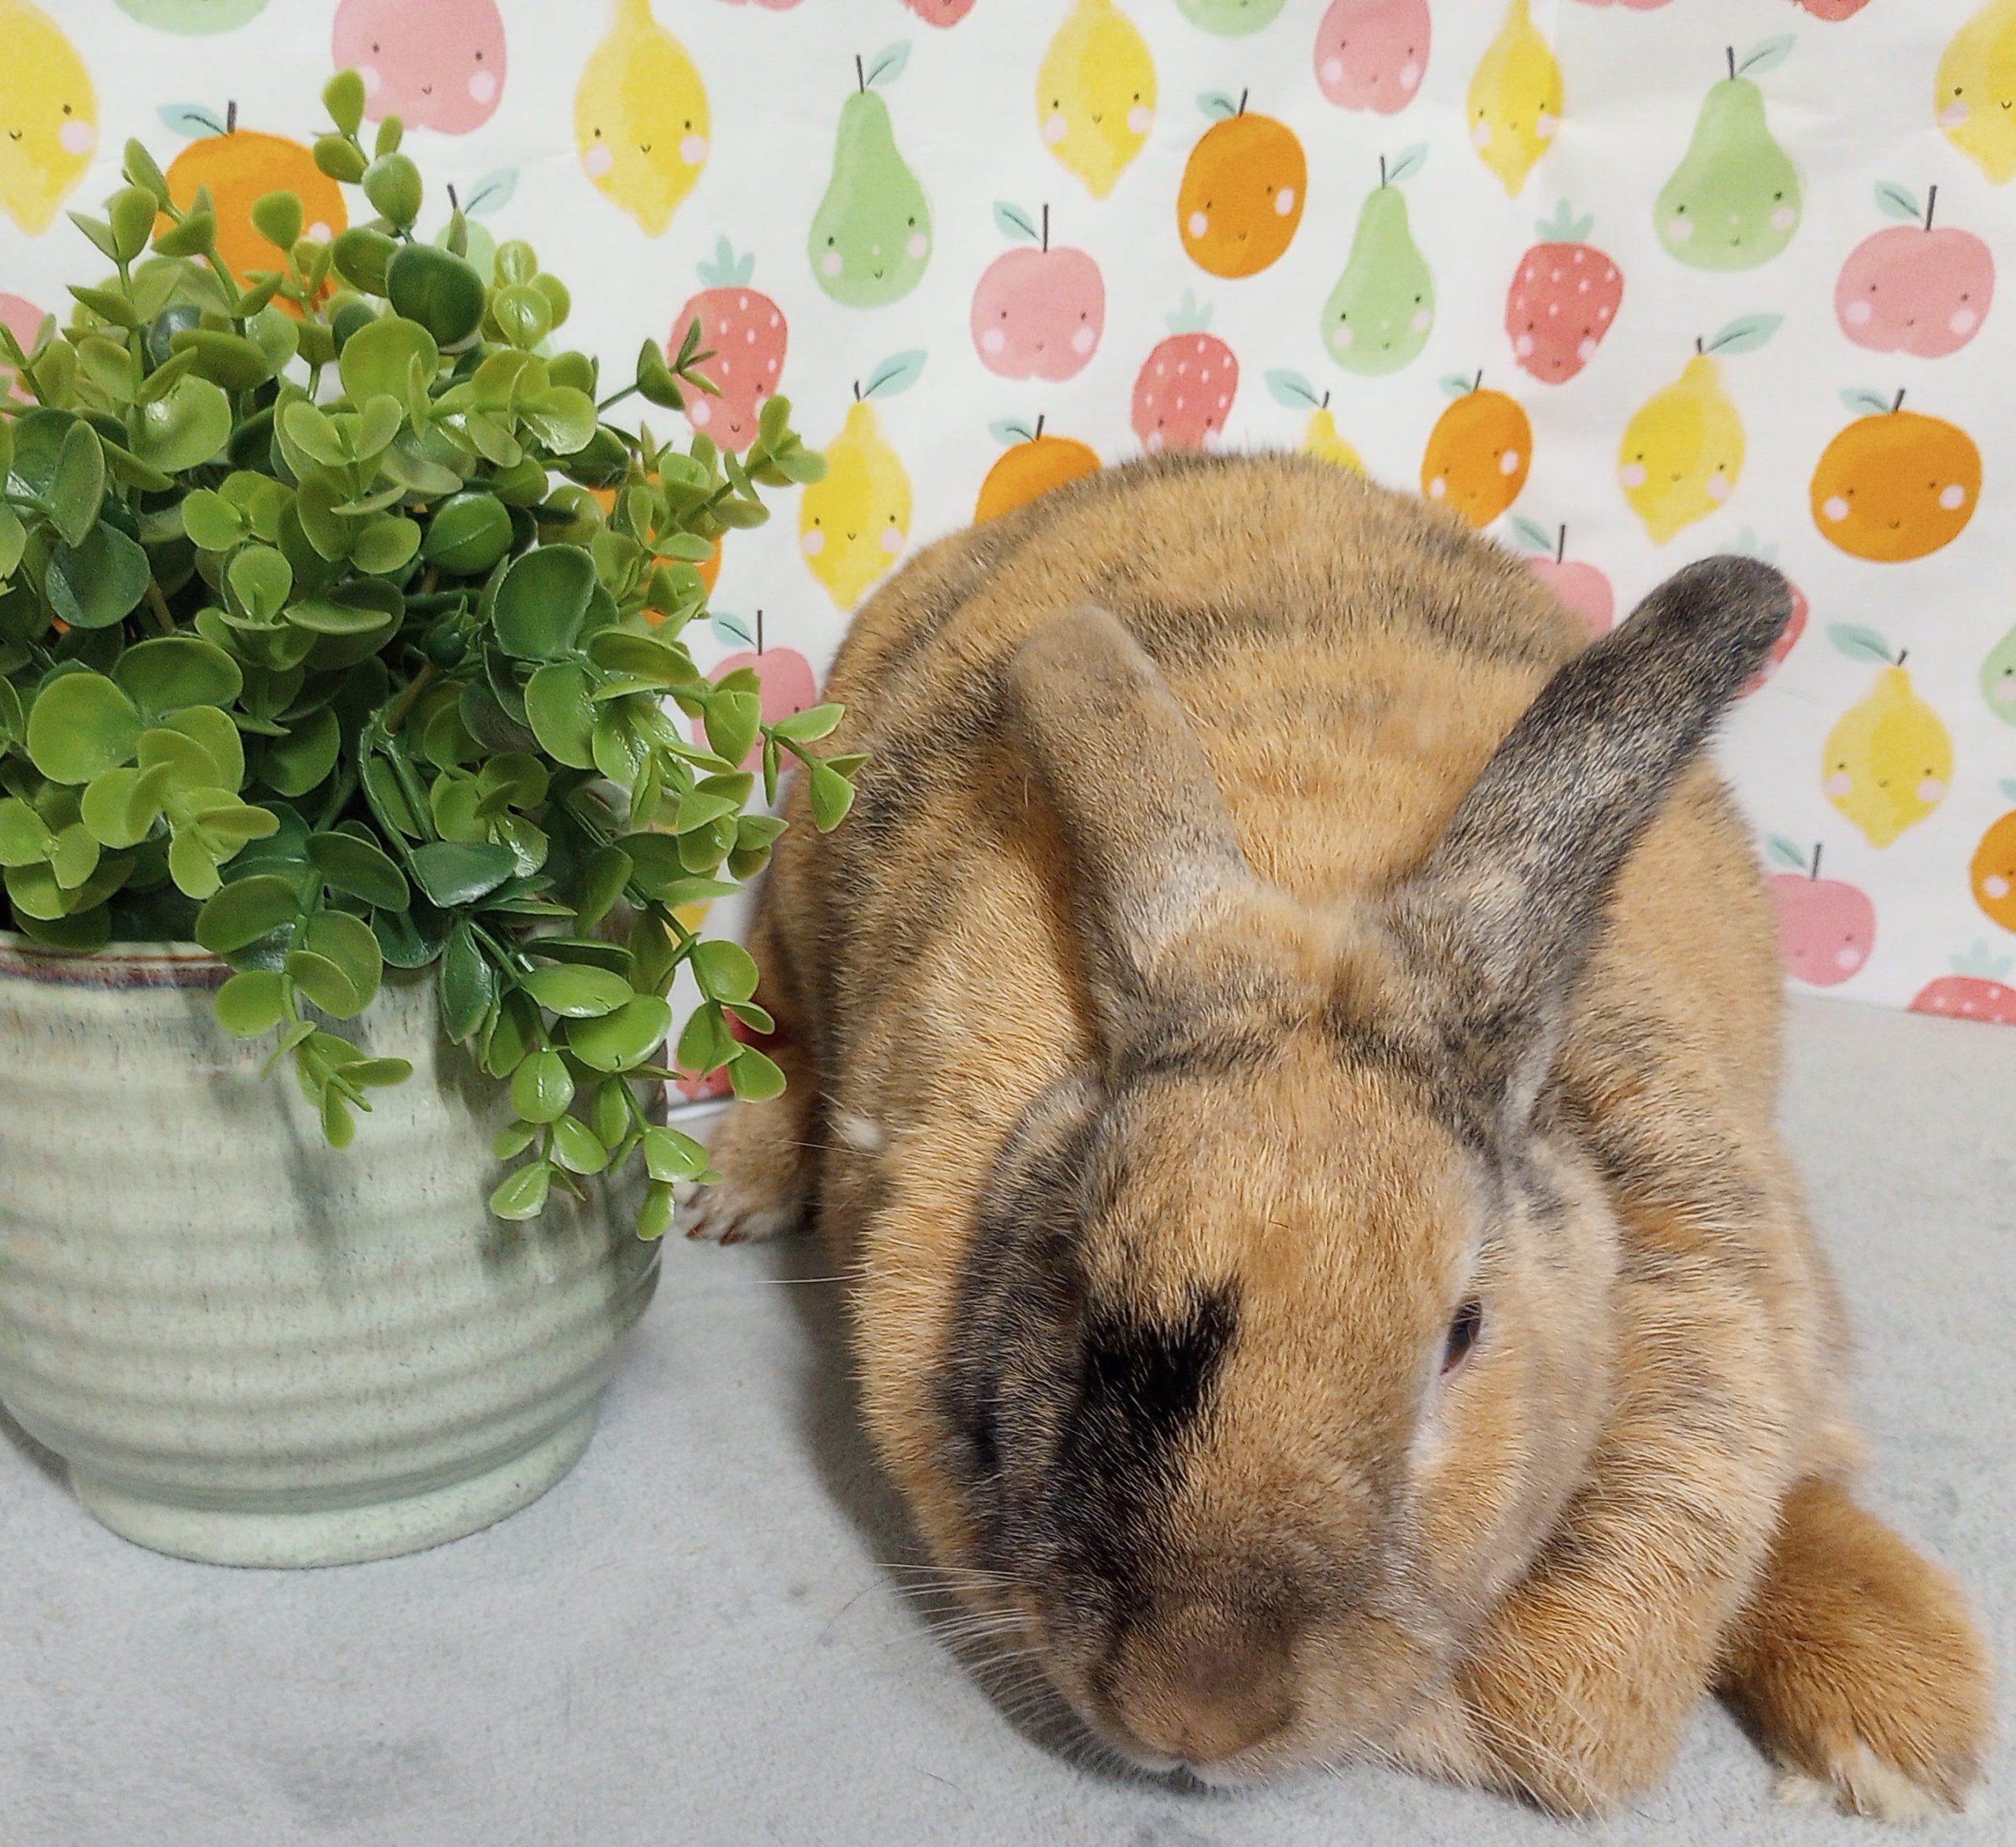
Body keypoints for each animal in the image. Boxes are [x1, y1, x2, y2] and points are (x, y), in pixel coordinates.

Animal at [683, 453, 1992, 1818]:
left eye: (1462, 1335)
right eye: (1087, 1299)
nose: (1191, 1709)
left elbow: (1802, 1491)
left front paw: (1907, 1735)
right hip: (793, 880)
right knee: (766, 1015)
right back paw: (736, 1191)